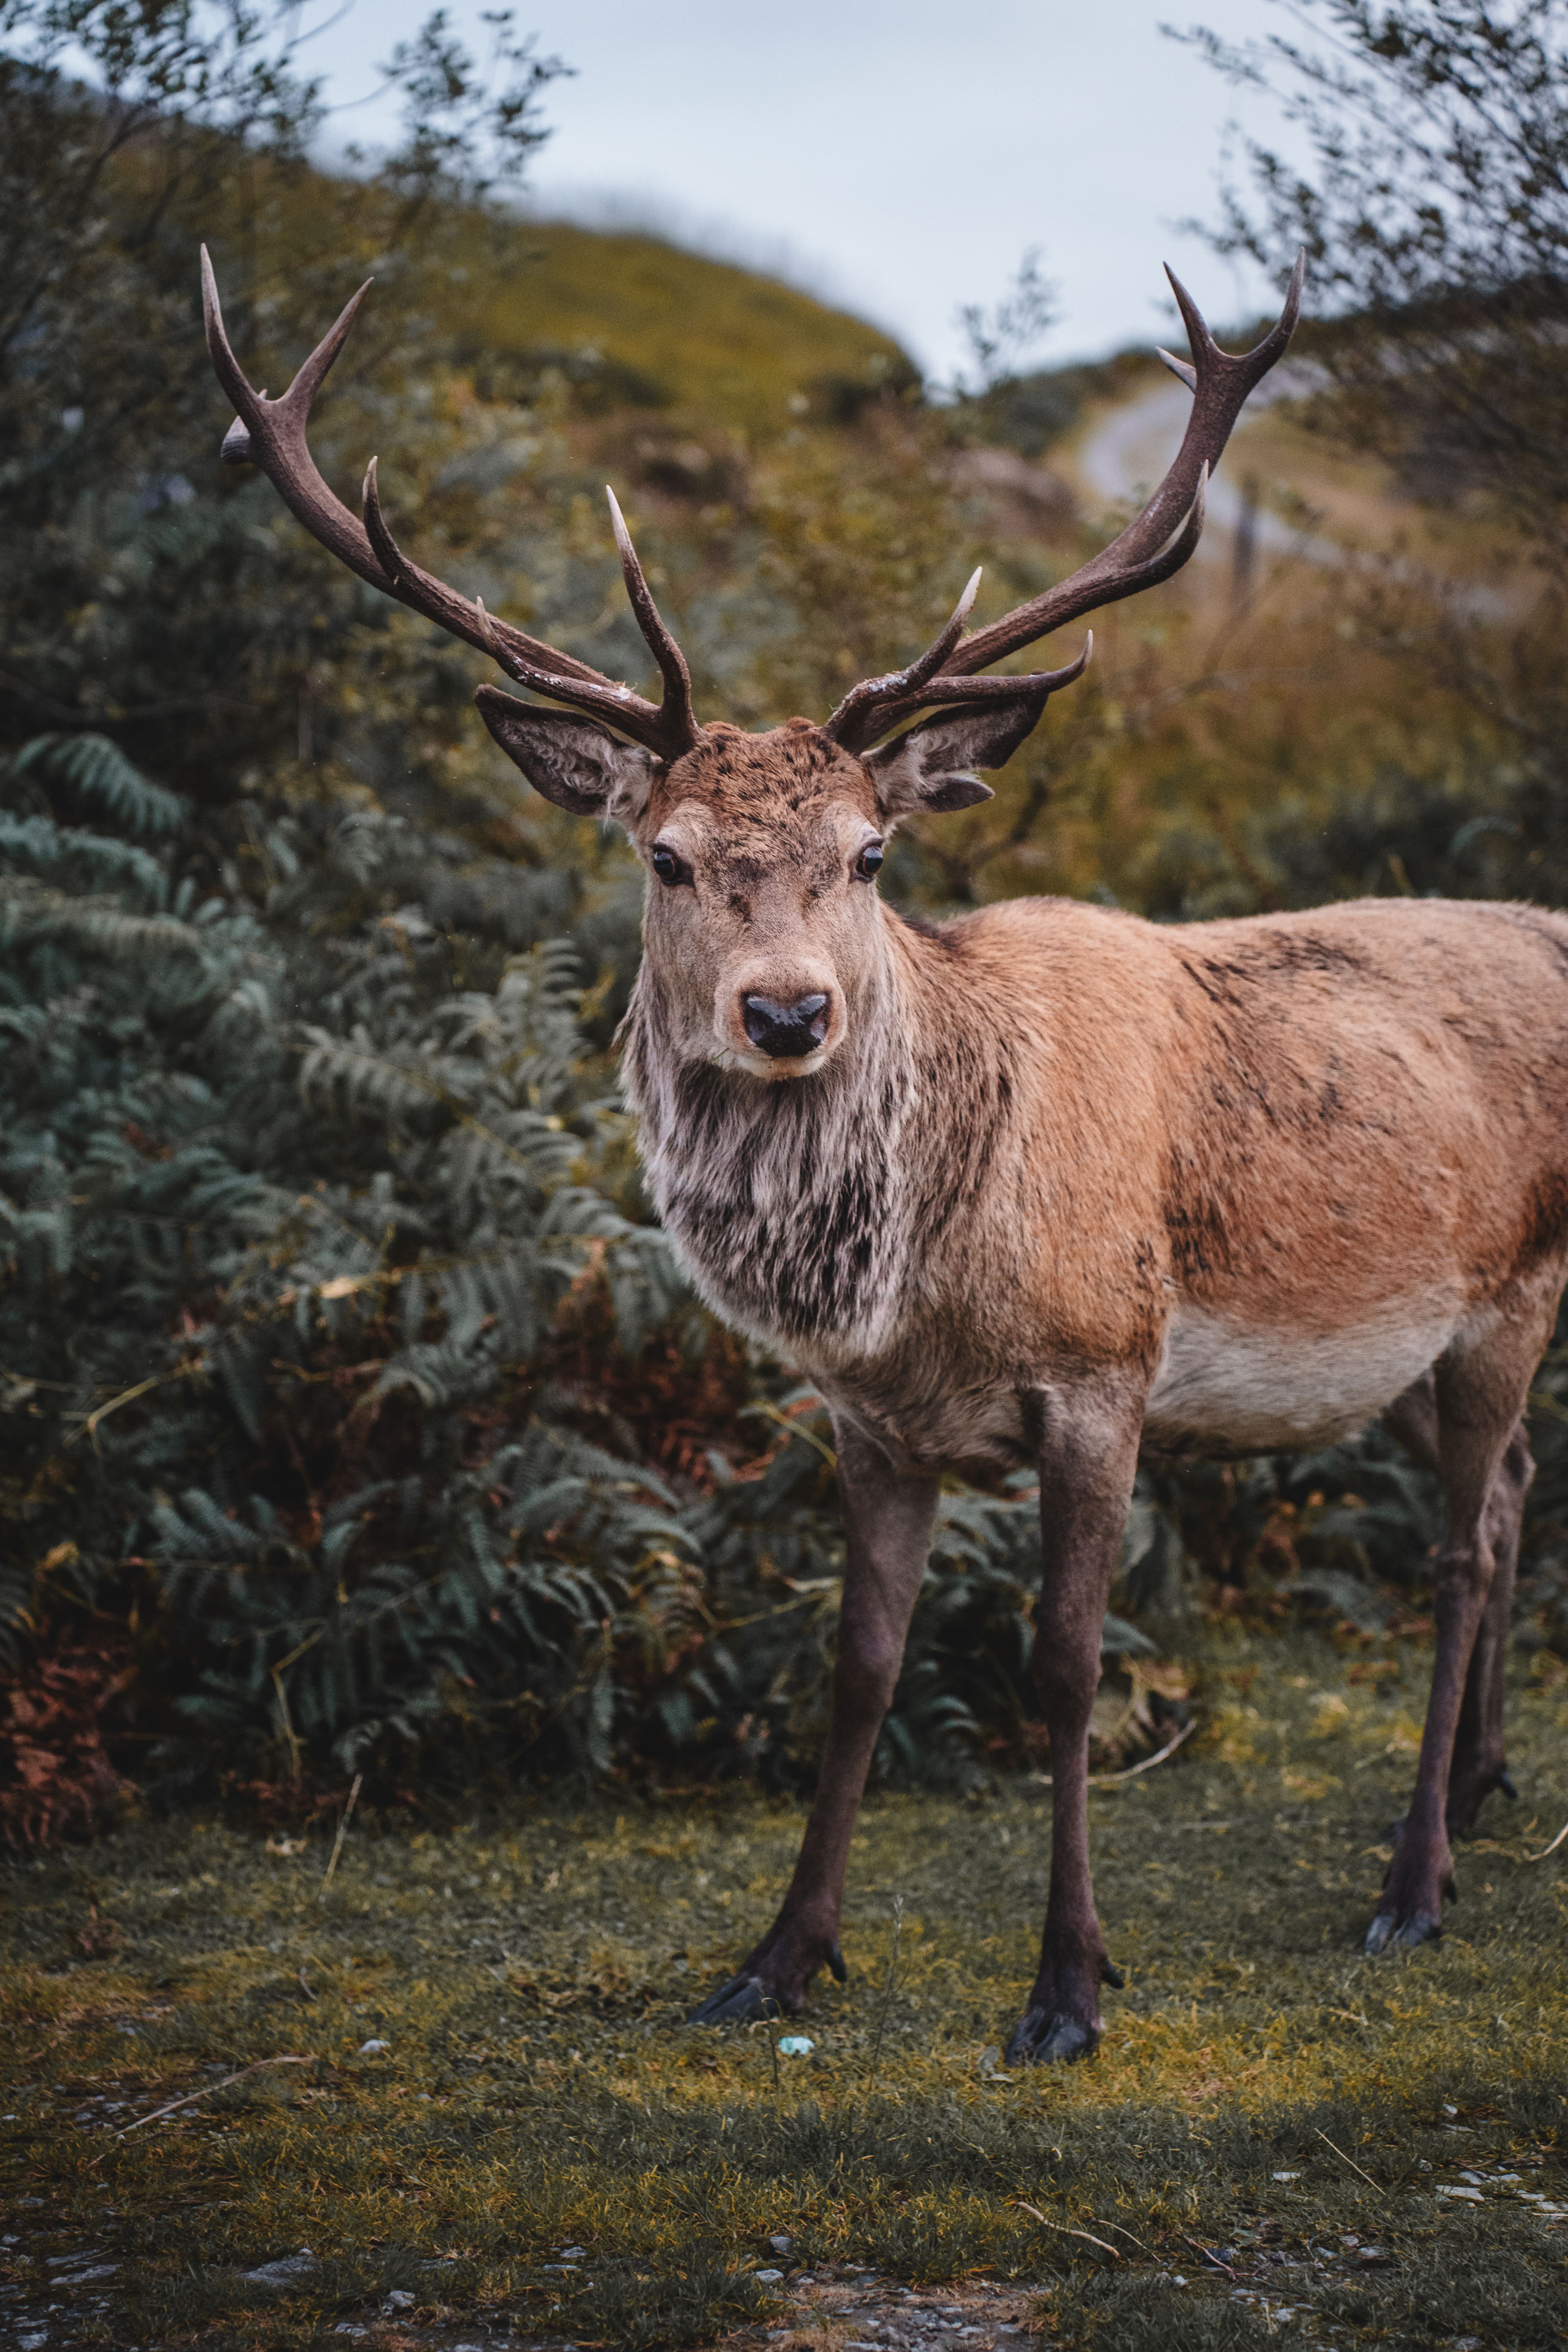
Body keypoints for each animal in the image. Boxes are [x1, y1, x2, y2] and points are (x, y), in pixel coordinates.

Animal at [202, 242, 1561, 2066]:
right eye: (666, 855)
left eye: (866, 851)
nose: (787, 1009)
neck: (915, 1289)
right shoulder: (866, 1419)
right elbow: (854, 1661)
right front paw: (777, 1956)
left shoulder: (1103, 1366)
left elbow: (1062, 1667)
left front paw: (1067, 1985)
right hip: (1413, 1347)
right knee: (1512, 1498)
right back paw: (1476, 1797)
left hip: (1506, 1290)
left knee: (1460, 1545)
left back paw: (1410, 1880)